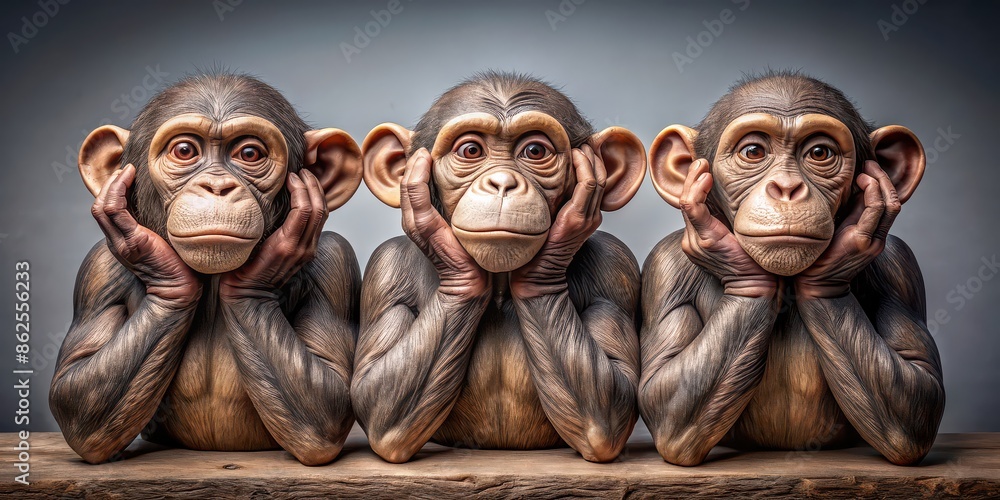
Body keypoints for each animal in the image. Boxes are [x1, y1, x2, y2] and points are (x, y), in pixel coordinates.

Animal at [49, 73, 364, 466]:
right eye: (185, 151)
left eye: (249, 154)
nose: (217, 186)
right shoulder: (97, 271)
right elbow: (75, 399)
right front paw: (164, 274)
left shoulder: (335, 262)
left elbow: (329, 403)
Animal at [353, 71, 647, 463]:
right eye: (470, 151)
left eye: (535, 151)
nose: (503, 182)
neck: (500, 287)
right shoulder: (385, 268)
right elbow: (377, 408)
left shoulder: (616, 265)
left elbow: (613, 410)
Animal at [640, 71, 945, 466]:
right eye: (753, 152)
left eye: (820, 153)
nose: (787, 188)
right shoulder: (665, 267)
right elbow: (662, 396)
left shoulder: (900, 266)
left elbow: (920, 397)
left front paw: (831, 273)